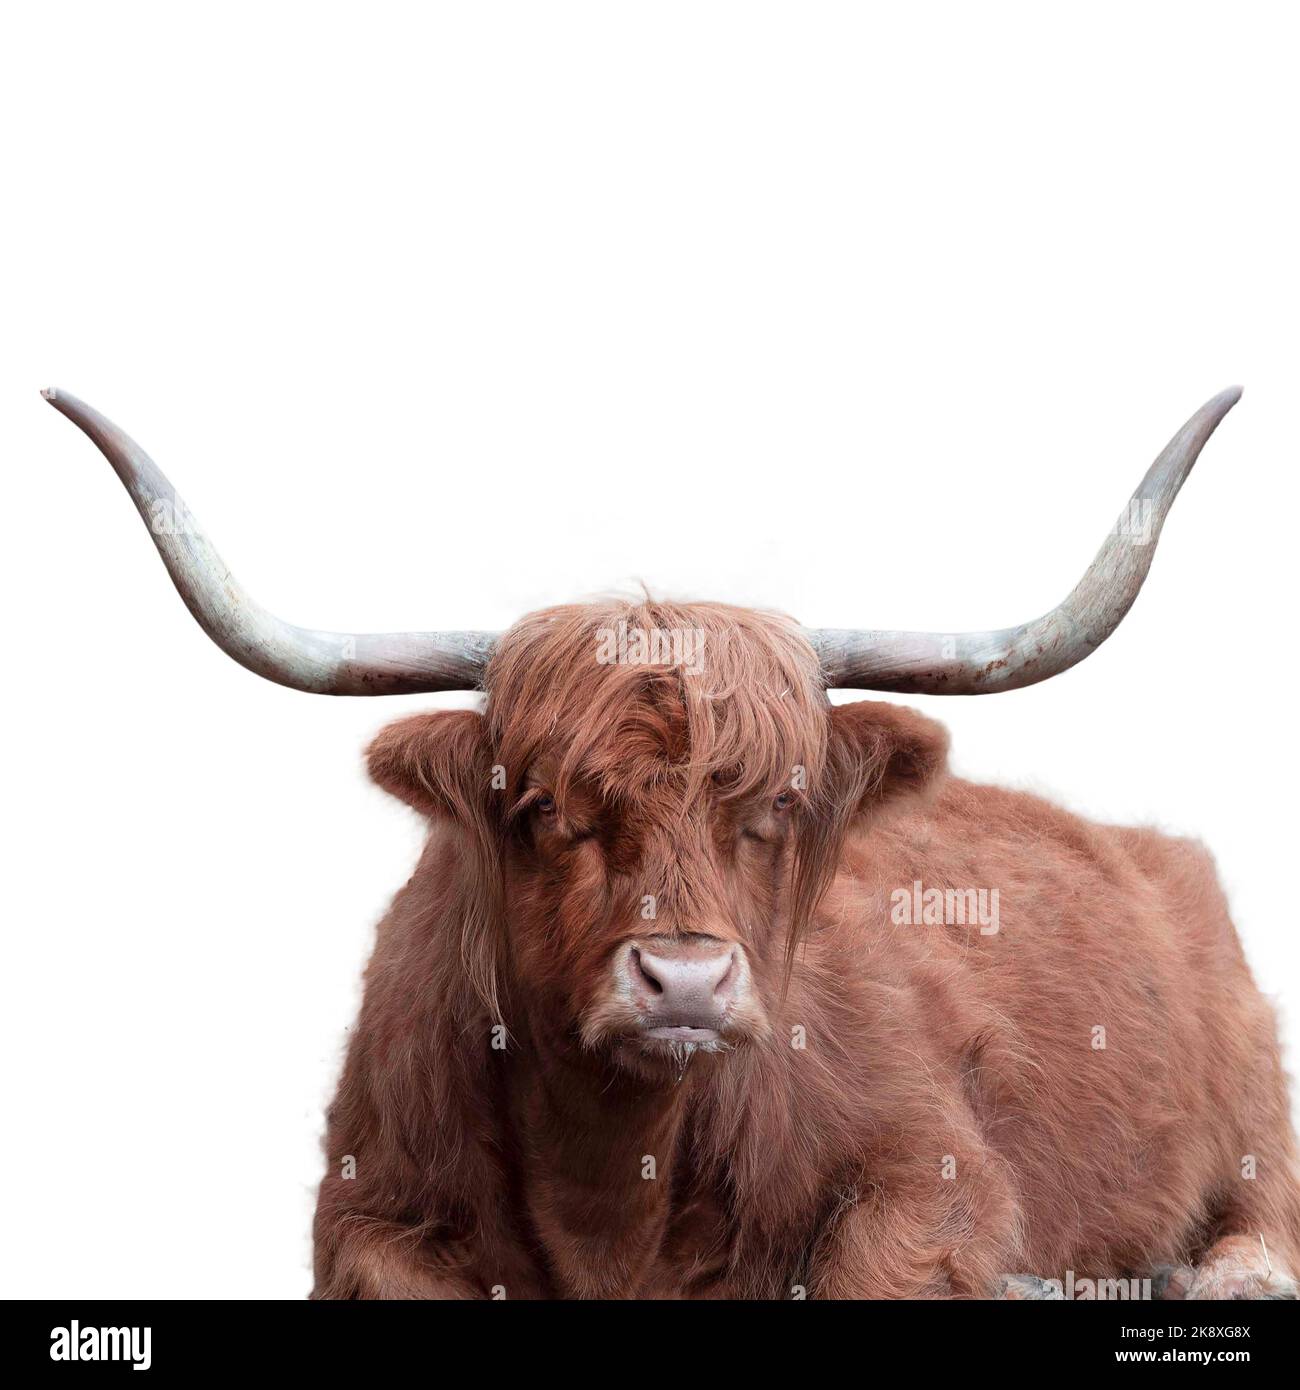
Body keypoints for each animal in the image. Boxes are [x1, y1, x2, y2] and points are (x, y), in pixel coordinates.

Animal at [46, 386, 1300, 1299]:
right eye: (541, 805)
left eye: (777, 804)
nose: (685, 980)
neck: (614, 1188)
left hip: (1253, 1102)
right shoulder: (365, 1203)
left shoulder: (936, 1171)